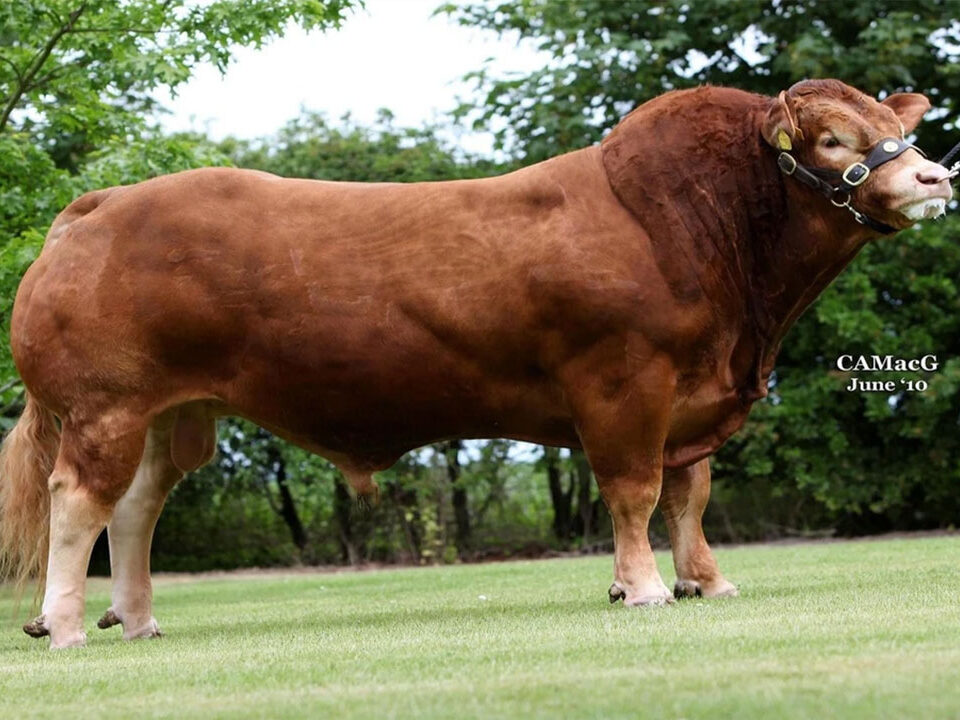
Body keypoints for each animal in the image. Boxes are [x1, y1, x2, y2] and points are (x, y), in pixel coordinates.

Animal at [0, 79, 952, 648]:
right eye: (831, 140)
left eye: (895, 129)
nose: (935, 178)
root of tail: (98, 206)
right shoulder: (625, 386)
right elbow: (636, 491)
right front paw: (642, 589)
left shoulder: (693, 397)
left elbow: (692, 495)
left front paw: (704, 582)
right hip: (106, 406)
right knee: (78, 502)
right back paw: (63, 623)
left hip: (170, 414)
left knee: (134, 509)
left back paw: (137, 619)